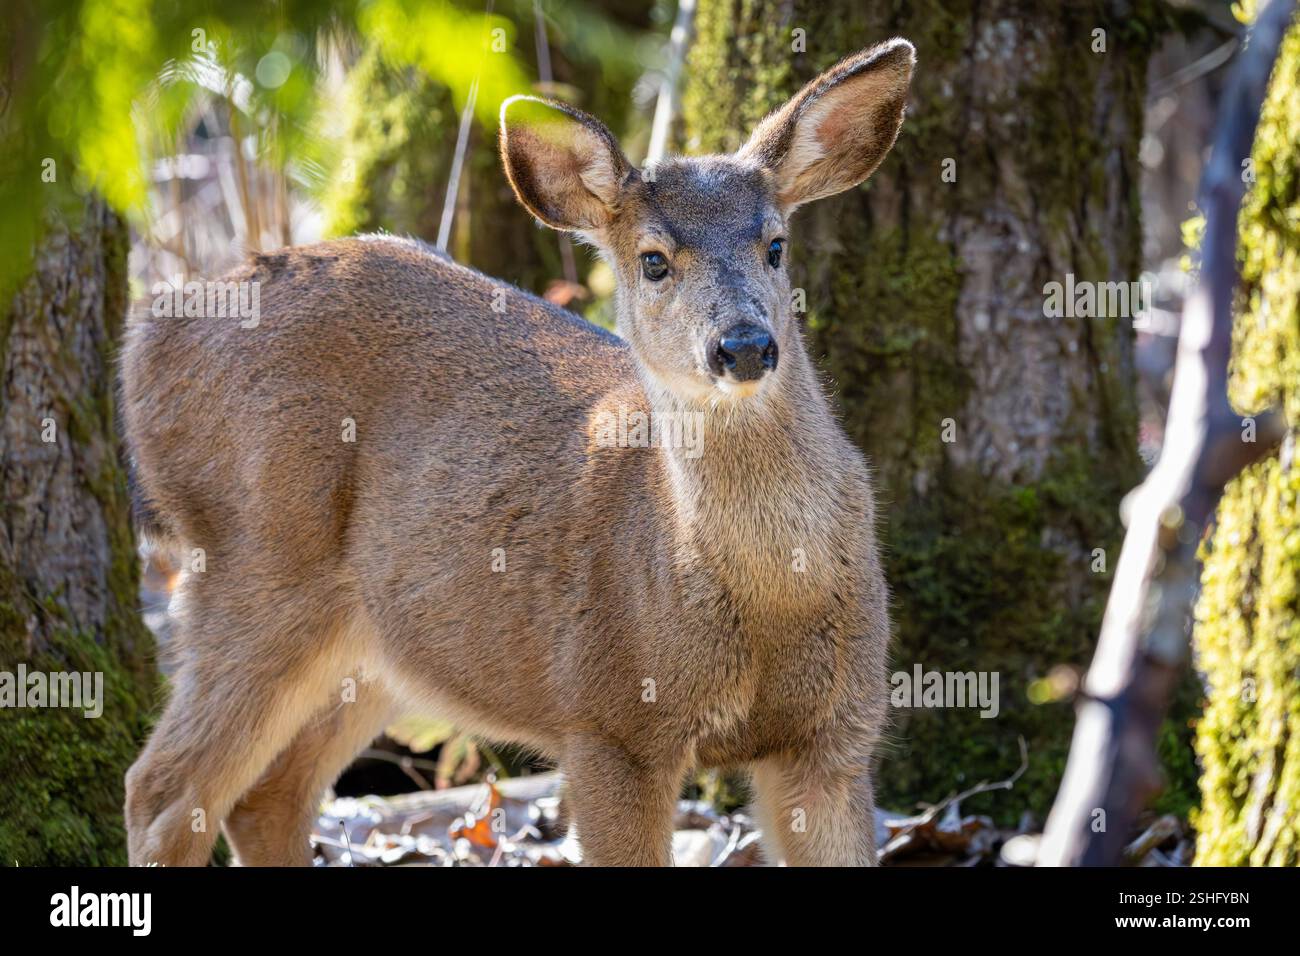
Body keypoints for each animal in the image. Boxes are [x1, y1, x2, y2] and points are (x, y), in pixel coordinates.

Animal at [120, 39, 915, 867]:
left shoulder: (837, 733)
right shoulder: (608, 719)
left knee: (267, 796)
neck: (769, 600)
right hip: (253, 557)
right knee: (163, 789)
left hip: (377, 641)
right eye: (654, 260)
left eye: (776, 246)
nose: (745, 345)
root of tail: (149, 336)